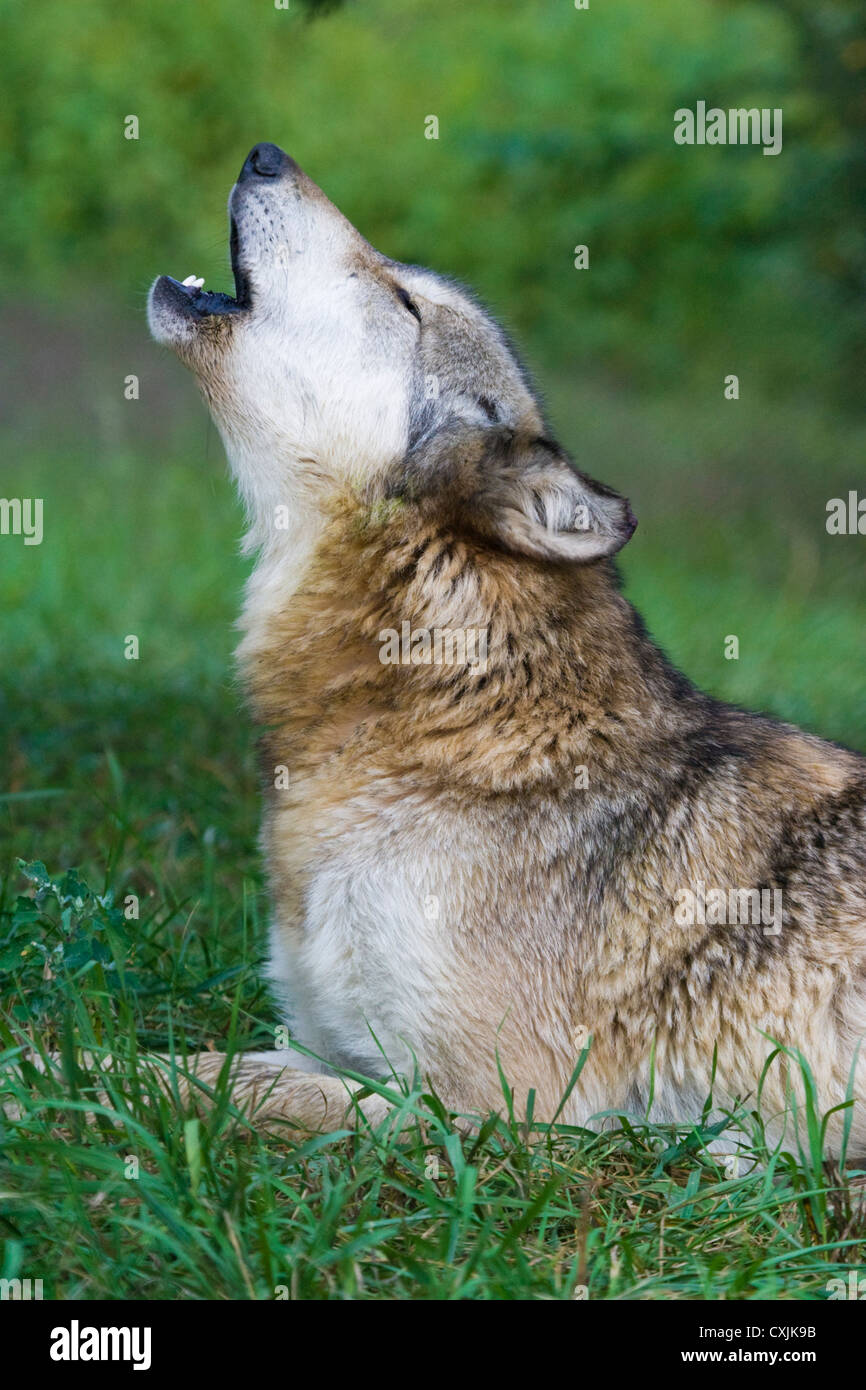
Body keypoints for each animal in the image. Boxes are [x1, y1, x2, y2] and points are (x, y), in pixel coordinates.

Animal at [147, 143, 866, 1151]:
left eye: (405, 301)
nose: (264, 154)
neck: (460, 713)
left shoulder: (493, 1107)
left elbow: (201, 1090)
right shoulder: (322, 1044)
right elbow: (180, 1065)